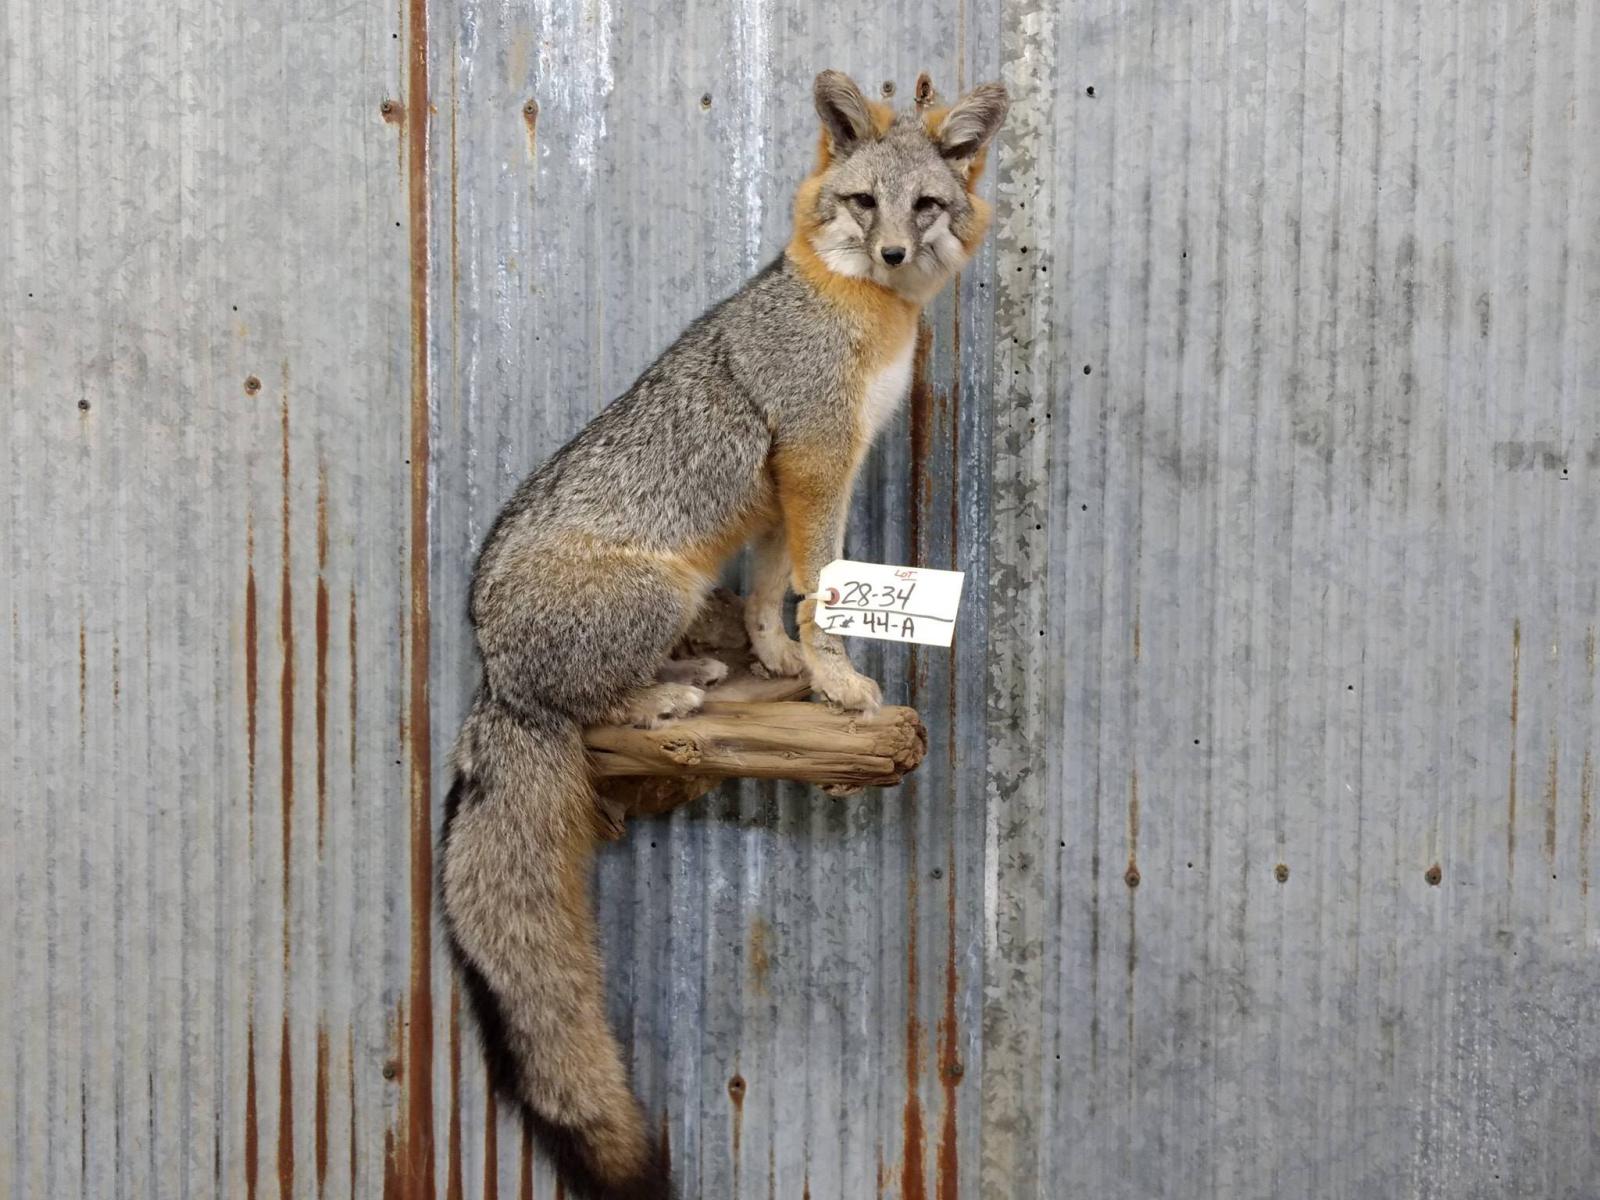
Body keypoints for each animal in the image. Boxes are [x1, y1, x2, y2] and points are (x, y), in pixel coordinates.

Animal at [440, 69, 1008, 1199]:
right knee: (587, 706)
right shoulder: (815, 458)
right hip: (657, 590)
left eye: (923, 205)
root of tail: (491, 673)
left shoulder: (790, 484)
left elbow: (774, 587)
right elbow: (820, 583)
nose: (892, 254)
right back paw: (665, 690)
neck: (862, 314)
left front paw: (783, 662)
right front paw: (835, 679)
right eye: (864, 203)